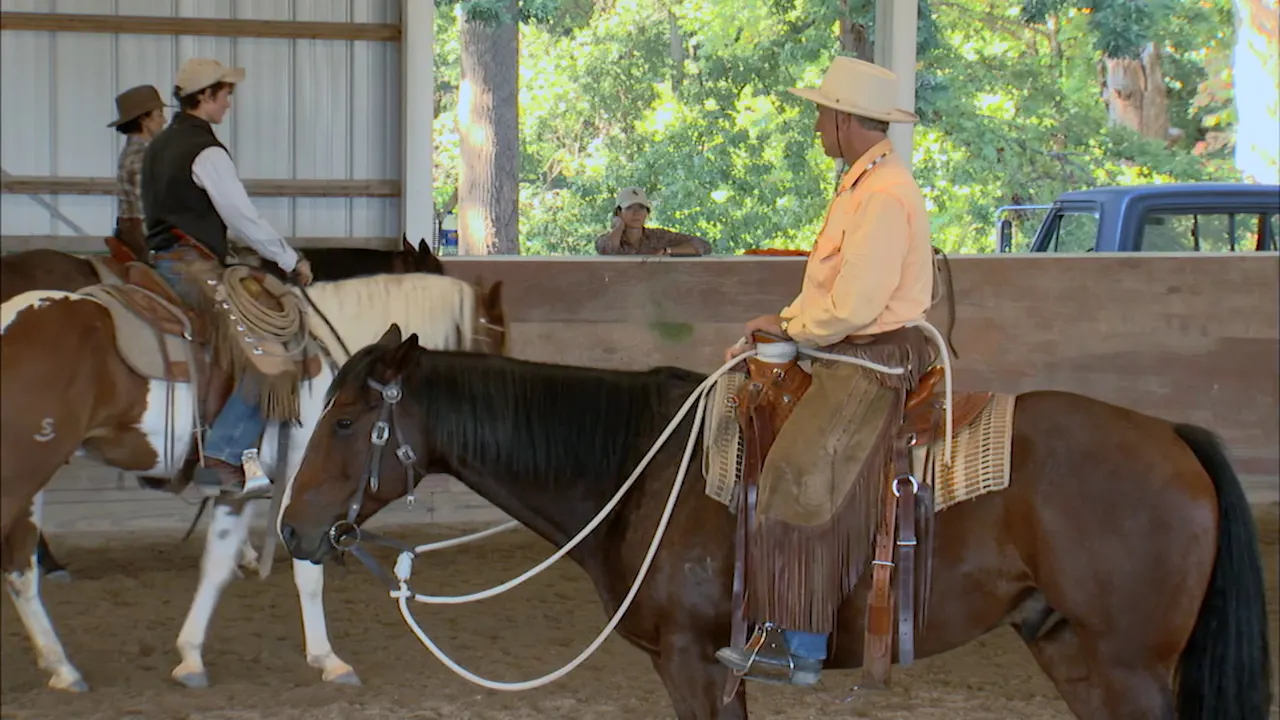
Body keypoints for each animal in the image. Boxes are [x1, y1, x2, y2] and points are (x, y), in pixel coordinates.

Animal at [0, 273, 508, 692]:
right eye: (494, 337)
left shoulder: (238, 490)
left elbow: (217, 564)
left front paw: (190, 658)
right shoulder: (307, 491)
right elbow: (307, 570)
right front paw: (329, 659)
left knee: (21, 570)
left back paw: (61, 667)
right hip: (22, 472)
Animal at [278, 326, 1271, 720]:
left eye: (344, 421)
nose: (290, 530)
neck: (643, 471)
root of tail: (1173, 438)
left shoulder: (693, 662)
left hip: (1131, 664)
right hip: (1069, 646)